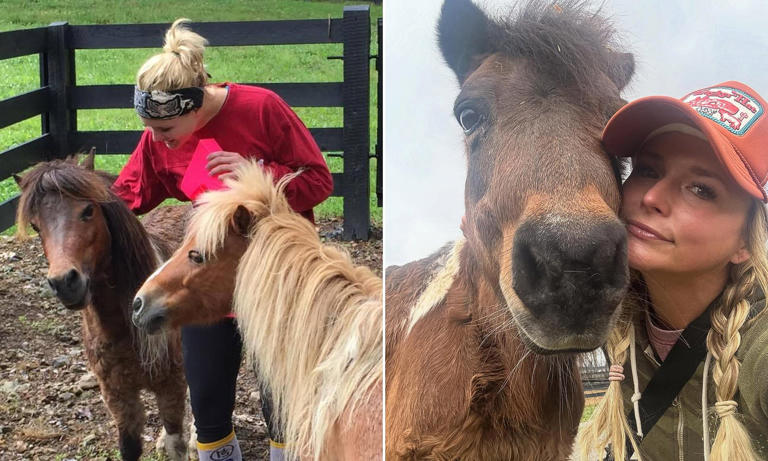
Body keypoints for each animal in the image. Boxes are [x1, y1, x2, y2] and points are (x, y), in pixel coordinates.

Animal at [14, 154, 190, 461]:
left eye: (88, 211)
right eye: (36, 226)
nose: (64, 282)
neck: (123, 328)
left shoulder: (170, 386)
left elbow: (175, 443)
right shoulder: (117, 396)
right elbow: (129, 448)